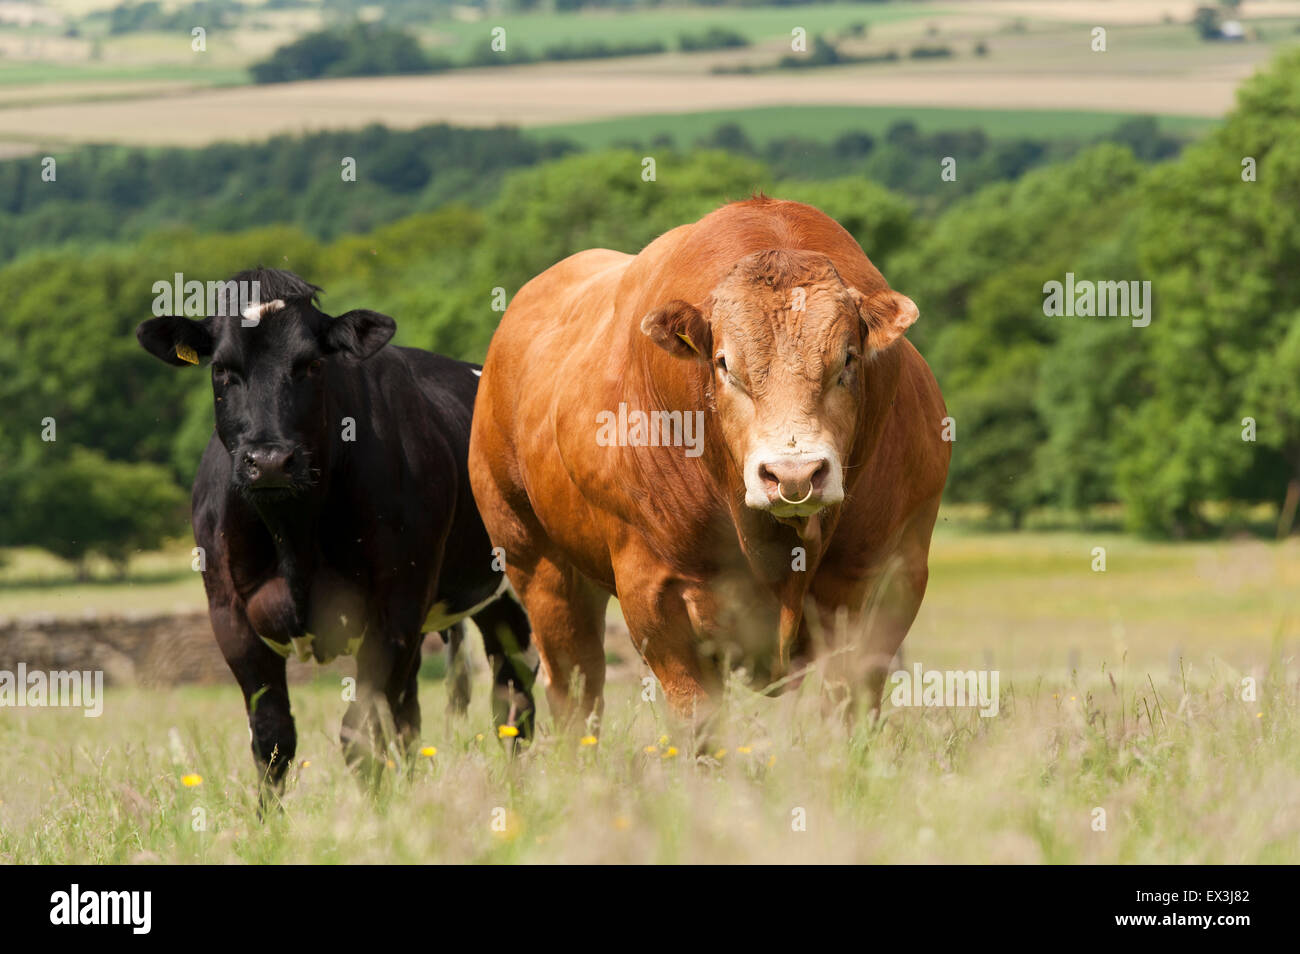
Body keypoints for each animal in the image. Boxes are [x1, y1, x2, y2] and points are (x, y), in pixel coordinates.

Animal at [136, 268, 536, 795]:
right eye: (221, 369)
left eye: (310, 364)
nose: (269, 461)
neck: (294, 534)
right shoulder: (231, 616)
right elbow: (273, 740)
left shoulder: (395, 609)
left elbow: (359, 734)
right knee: (415, 717)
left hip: (517, 595)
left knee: (518, 702)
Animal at [469, 198, 949, 730]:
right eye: (723, 363)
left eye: (847, 359)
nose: (794, 475)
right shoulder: (656, 595)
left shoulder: (889, 578)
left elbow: (846, 708)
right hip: (537, 565)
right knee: (575, 689)